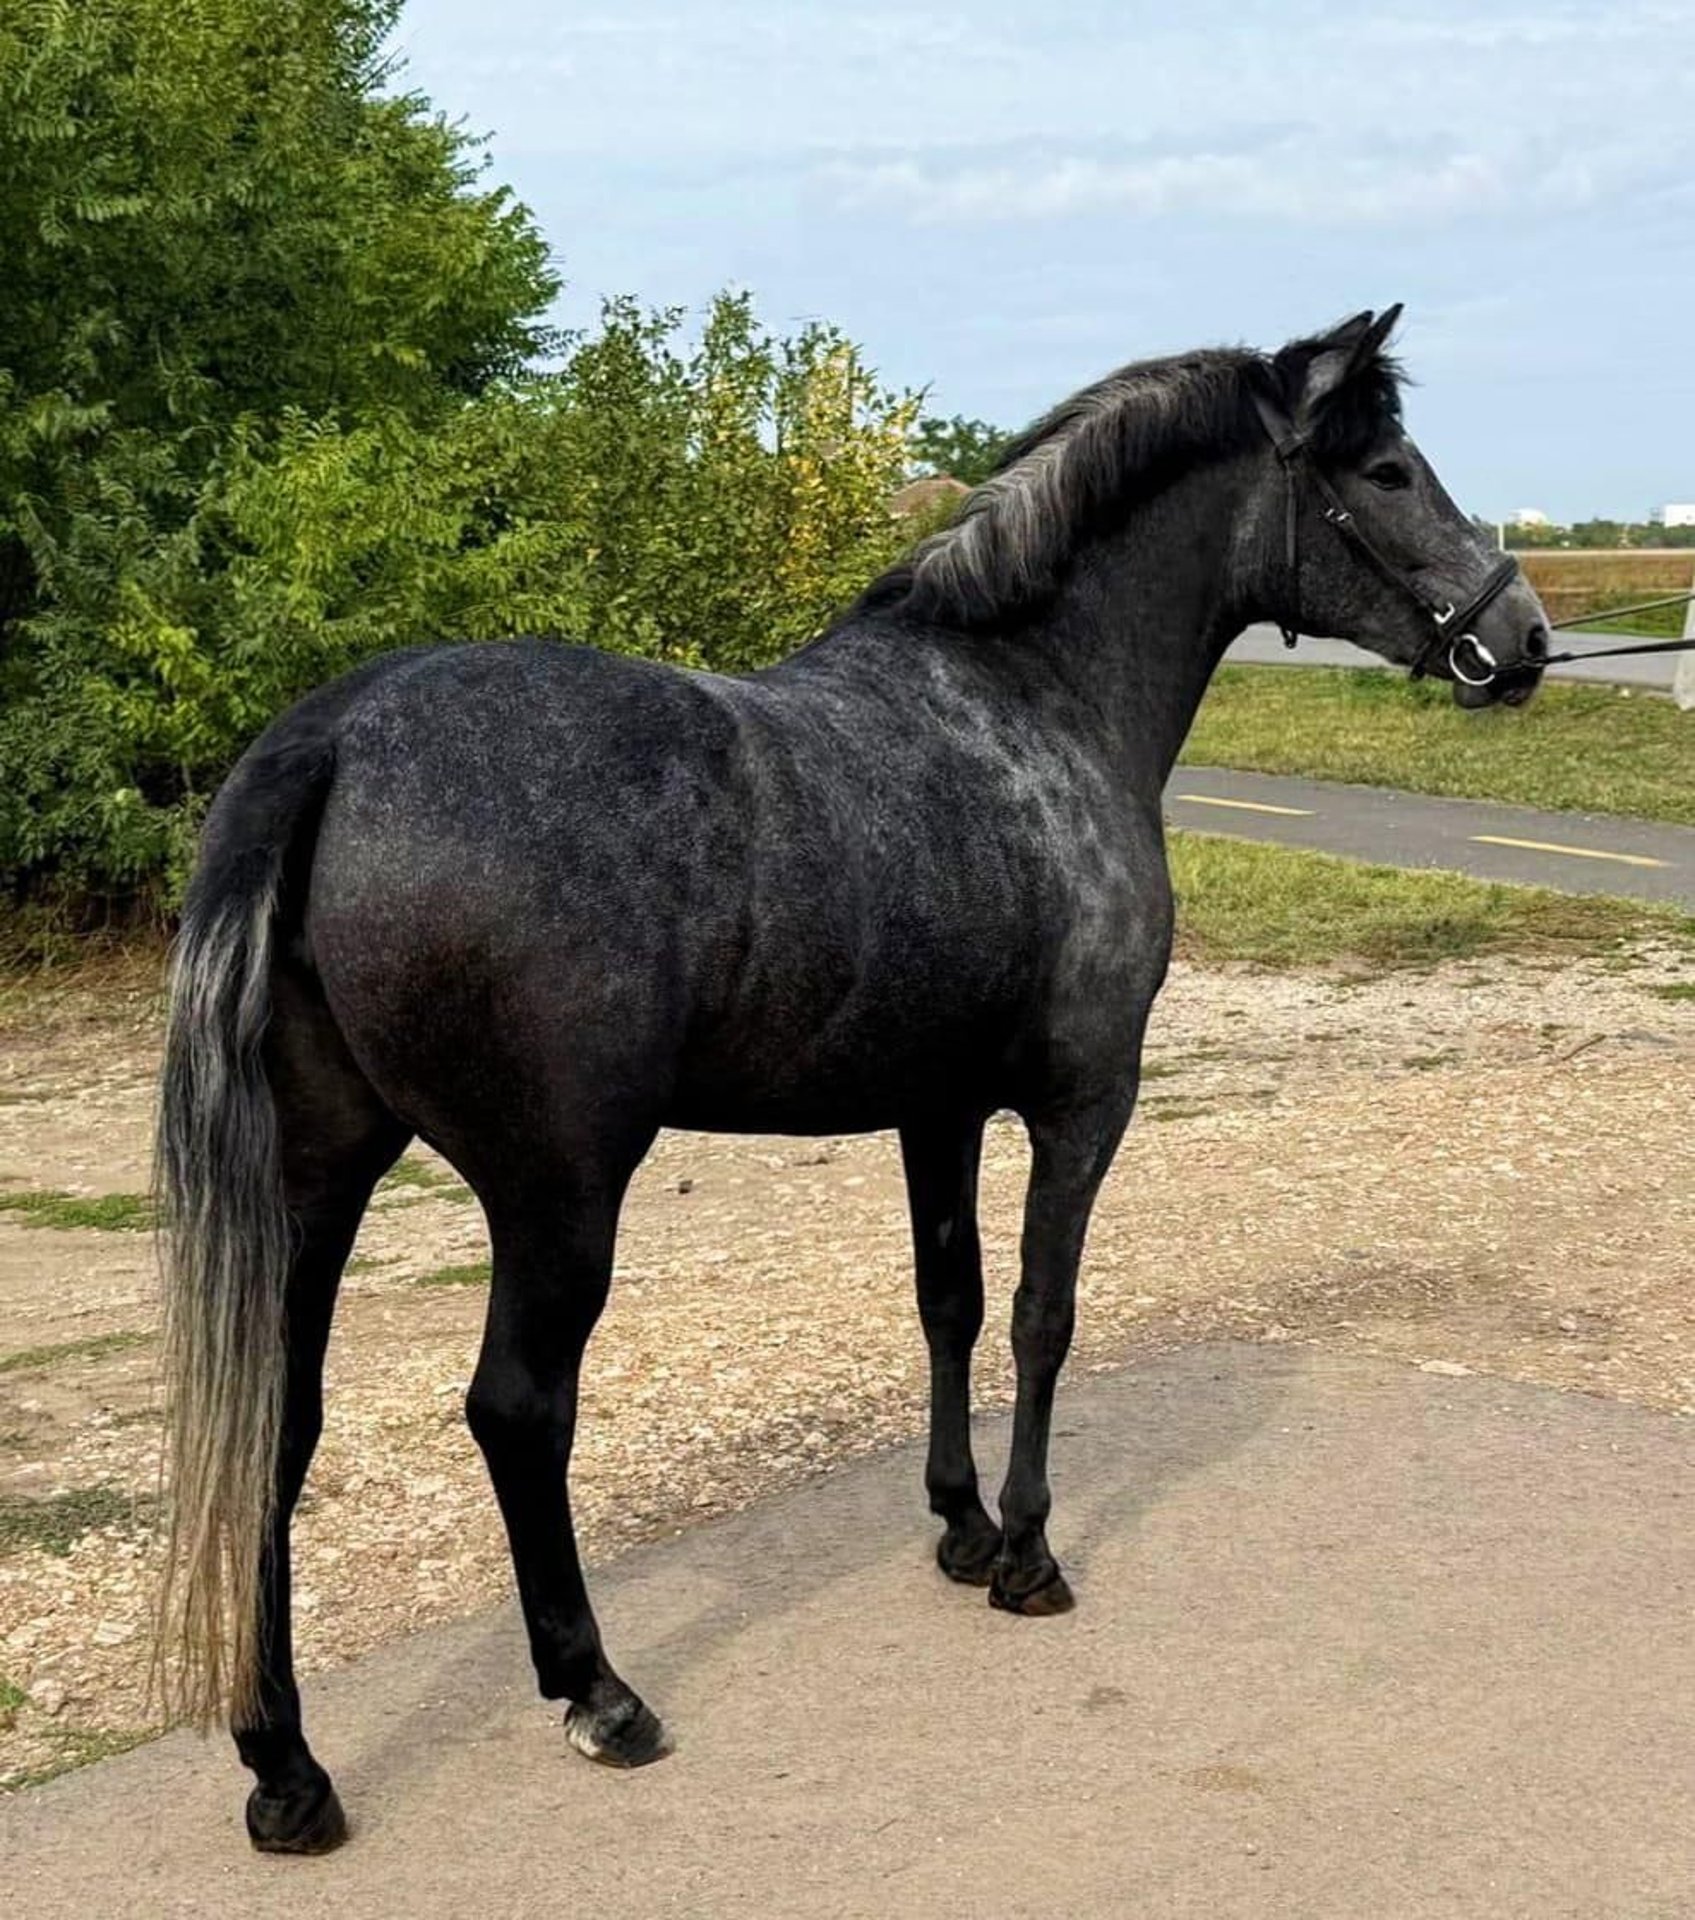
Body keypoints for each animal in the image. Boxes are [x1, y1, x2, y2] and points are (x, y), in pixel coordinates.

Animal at [155, 307, 1550, 1852]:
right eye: (1384, 469)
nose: (1522, 639)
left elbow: (946, 1302)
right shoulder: (1083, 1103)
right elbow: (1040, 1316)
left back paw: (285, 1765)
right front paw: (1028, 1554)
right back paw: (598, 1693)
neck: (1032, 700)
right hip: (555, 1193)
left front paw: (958, 1525)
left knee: (275, 1430)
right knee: (517, 1412)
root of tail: (336, 737)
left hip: (321, 1171)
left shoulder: (933, 1110)